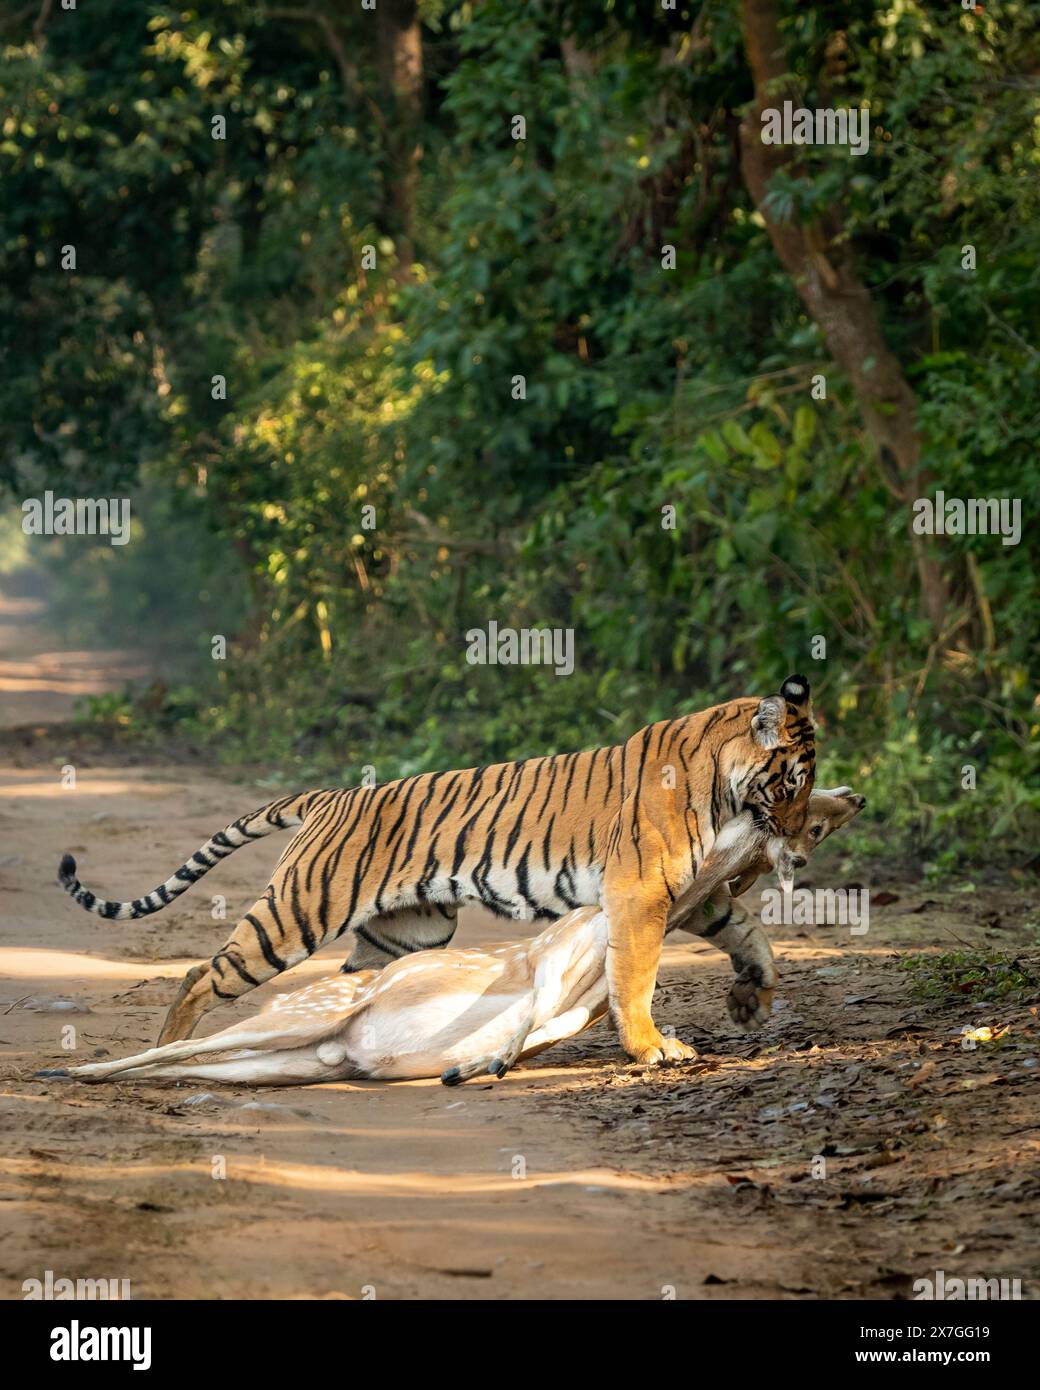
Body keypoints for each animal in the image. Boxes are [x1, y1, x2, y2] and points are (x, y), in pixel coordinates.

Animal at [57, 674, 815, 1064]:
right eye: (795, 782)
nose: (802, 848)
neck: (725, 785)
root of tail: (330, 795)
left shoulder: (693, 892)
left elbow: (749, 933)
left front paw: (754, 997)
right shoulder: (639, 892)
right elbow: (636, 976)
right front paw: (652, 1049)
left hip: (405, 932)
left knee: (349, 989)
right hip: (294, 916)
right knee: (200, 974)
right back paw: (170, 1043)